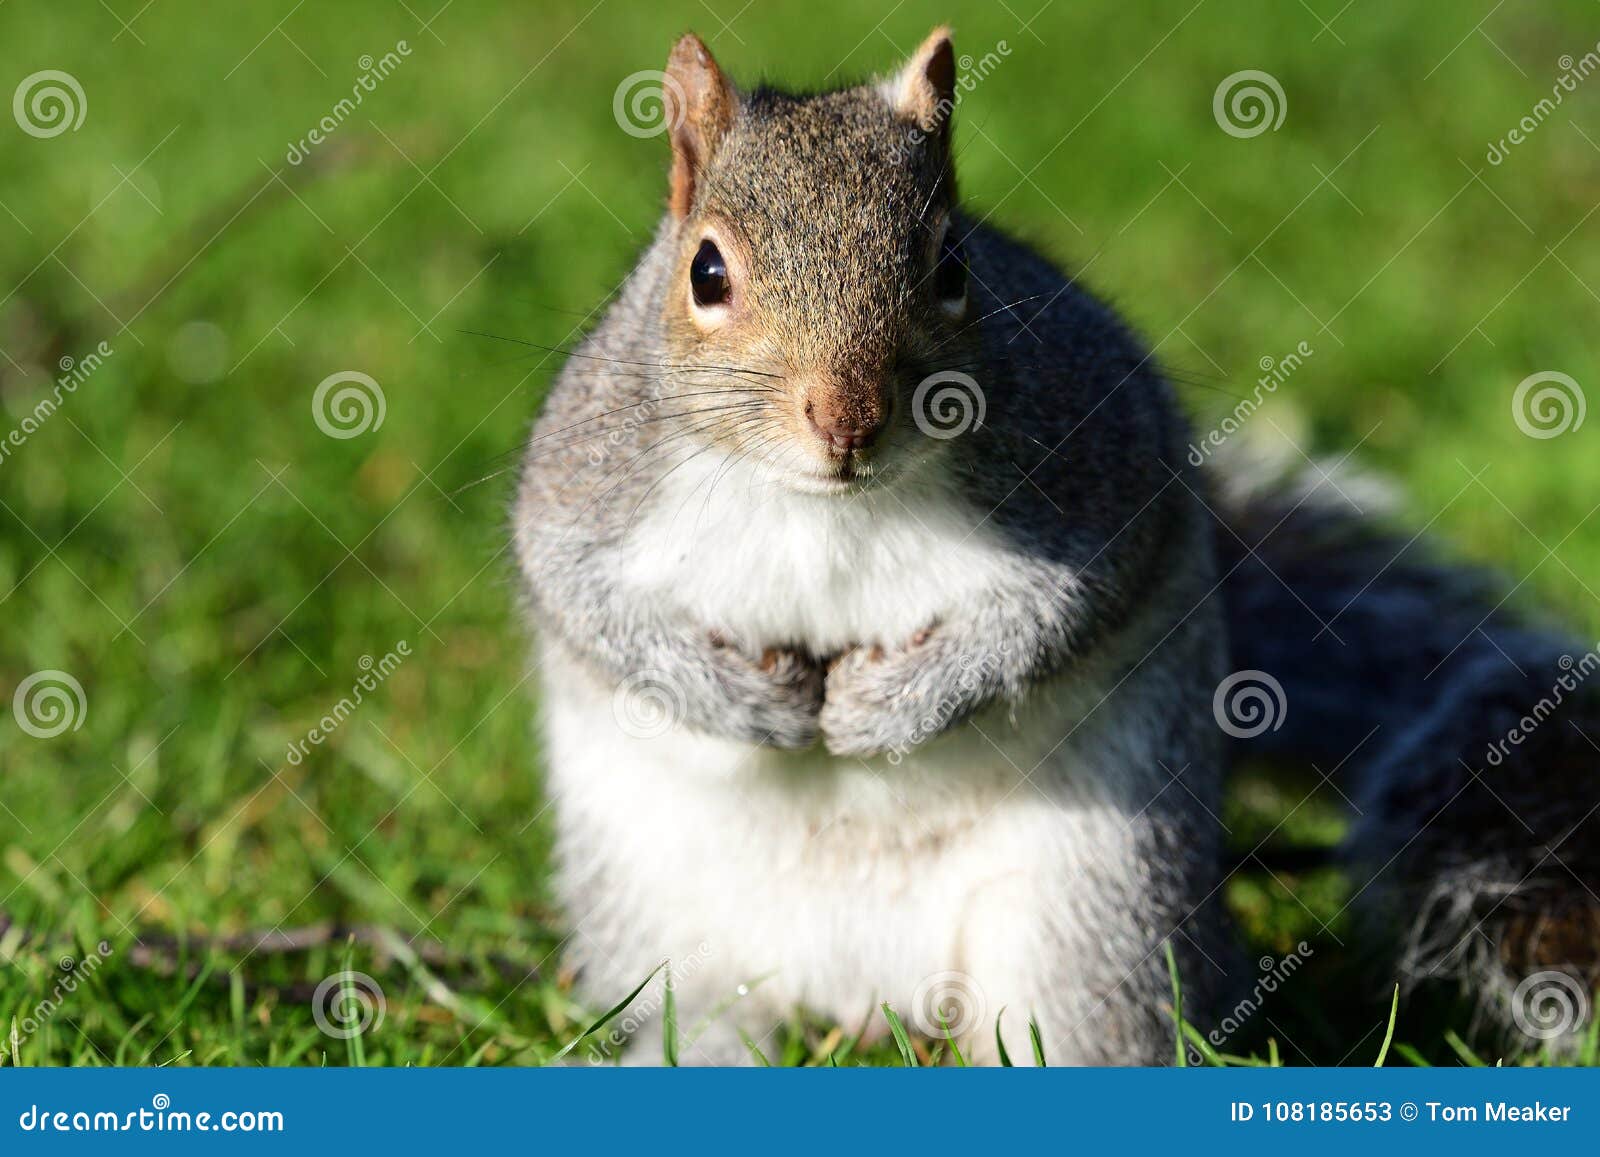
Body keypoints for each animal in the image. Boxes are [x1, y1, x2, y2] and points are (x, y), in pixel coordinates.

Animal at [513, 28, 1600, 1064]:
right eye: (705, 271)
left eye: (955, 268)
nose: (846, 420)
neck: (825, 508)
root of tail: (868, 996)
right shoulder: (588, 485)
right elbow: (587, 602)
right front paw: (750, 700)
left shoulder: (1097, 481)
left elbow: (1052, 616)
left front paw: (887, 705)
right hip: (654, 920)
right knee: (702, 1018)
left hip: (1094, 909)